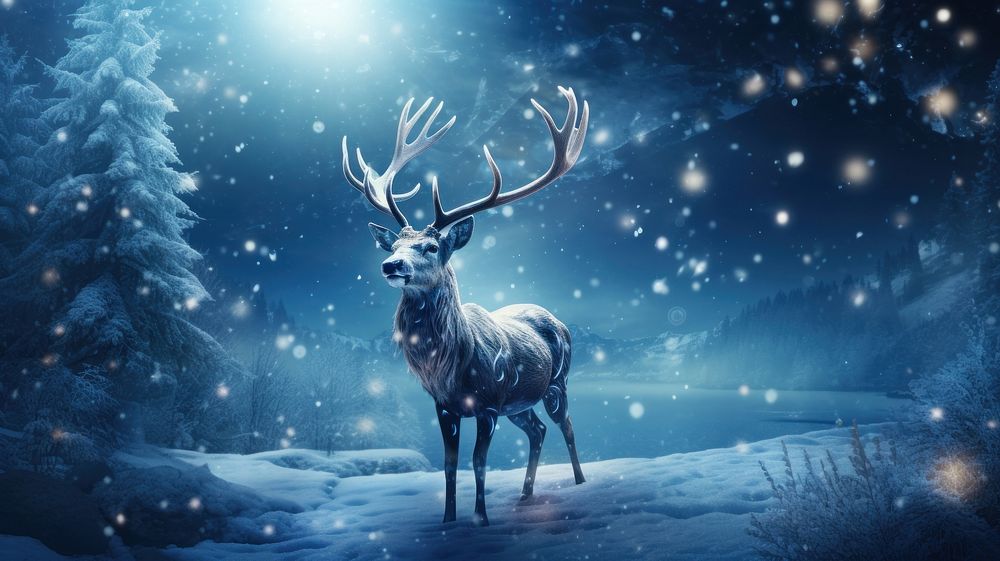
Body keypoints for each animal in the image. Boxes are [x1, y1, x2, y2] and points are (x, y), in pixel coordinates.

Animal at [341, 87, 589, 526]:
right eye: (395, 244)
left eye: (431, 246)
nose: (390, 265)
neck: (452, 366)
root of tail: (557, 319)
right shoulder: (445, 407)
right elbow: (449, 464)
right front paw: (448, 519)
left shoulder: (487, 403)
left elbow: (479, 463)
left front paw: (481, 519)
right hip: (518, 403)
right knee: (538, 430)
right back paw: (526, 493)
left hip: (557, 381)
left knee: (567, 426)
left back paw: (579, 482)